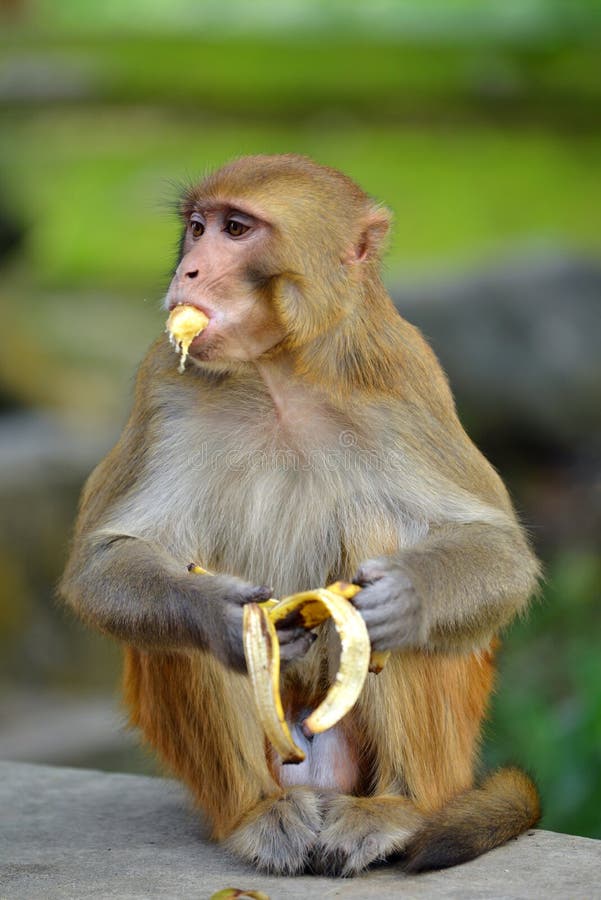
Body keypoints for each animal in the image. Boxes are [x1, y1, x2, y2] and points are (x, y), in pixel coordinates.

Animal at [60, 154, 541, 877]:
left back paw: (394, 809)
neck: (280, 371)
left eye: (236, 229)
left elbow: (497, 551)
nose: (188, 272)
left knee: (384, 529)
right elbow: (106, 560)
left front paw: (404, 599)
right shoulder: (162, 385)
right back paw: (259, 813)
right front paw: (217, 615)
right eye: (196, 228)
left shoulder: (404, 374)